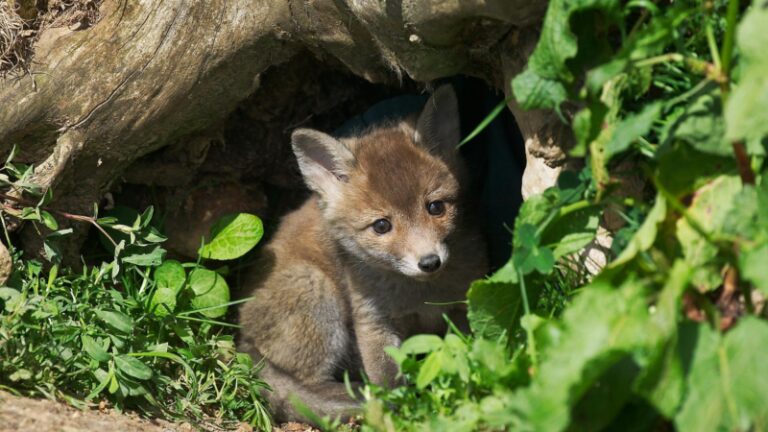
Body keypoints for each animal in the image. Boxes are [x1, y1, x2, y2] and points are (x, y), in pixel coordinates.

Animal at [237, 85, 488, 422]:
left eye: (436, 207)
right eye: (381, 226)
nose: (429, 262)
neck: (420, 295)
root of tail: (241, 337)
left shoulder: (465, 302)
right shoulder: (373, 321)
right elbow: (389, 382)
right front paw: (402, 414)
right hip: (317, 292)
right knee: (303, 388)